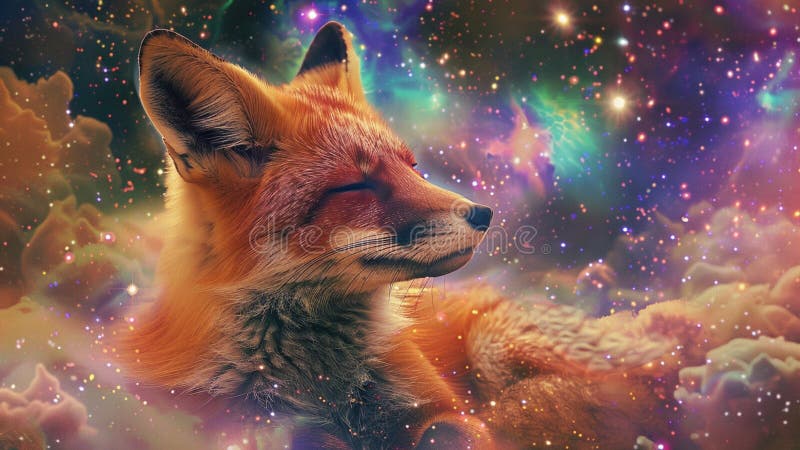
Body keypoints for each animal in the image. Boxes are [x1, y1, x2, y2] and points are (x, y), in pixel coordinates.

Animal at [124, 21, 768, 450]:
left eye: (411, 165)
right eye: (357, 183)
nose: (483, 214)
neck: (329, 389)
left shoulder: (441, 407)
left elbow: (454, 429)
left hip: (499, 344)